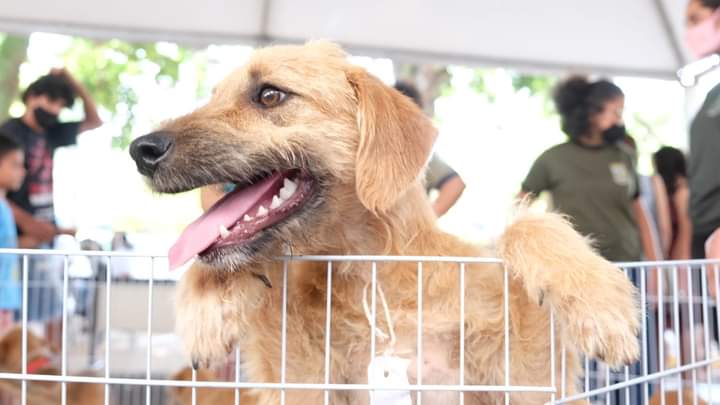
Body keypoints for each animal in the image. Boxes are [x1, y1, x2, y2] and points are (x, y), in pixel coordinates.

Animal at [131, 41, 640, 404]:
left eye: (270, 95)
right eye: (213, 95)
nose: (140, 150)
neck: (375, 277)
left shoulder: (530, 374)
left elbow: (527, 224)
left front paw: (600, 304)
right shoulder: (304, 380)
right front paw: (206, 305)